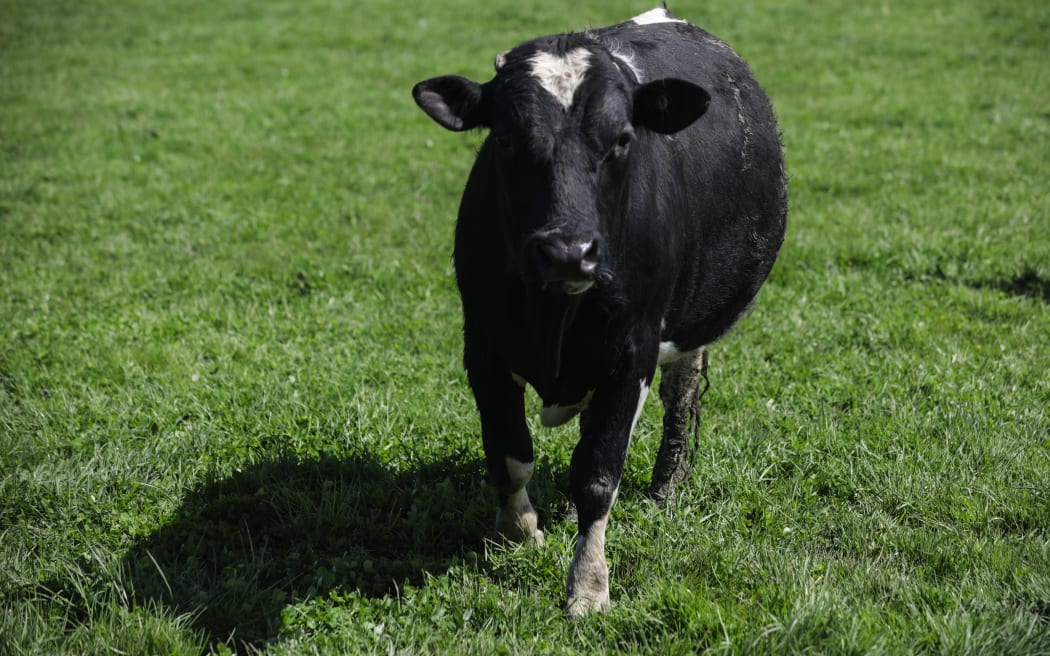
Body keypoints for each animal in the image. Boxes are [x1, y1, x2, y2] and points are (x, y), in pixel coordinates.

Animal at [412, 7, 787, 617]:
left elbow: (597, 473)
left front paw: (588, 584)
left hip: (689, 327)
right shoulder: (483, 345)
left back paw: (665, 488)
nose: (568, 250)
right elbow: (509, 452)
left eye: (622, 139)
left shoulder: (631, 353)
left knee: (680, 397)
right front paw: (519, 531)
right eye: (505, 138)